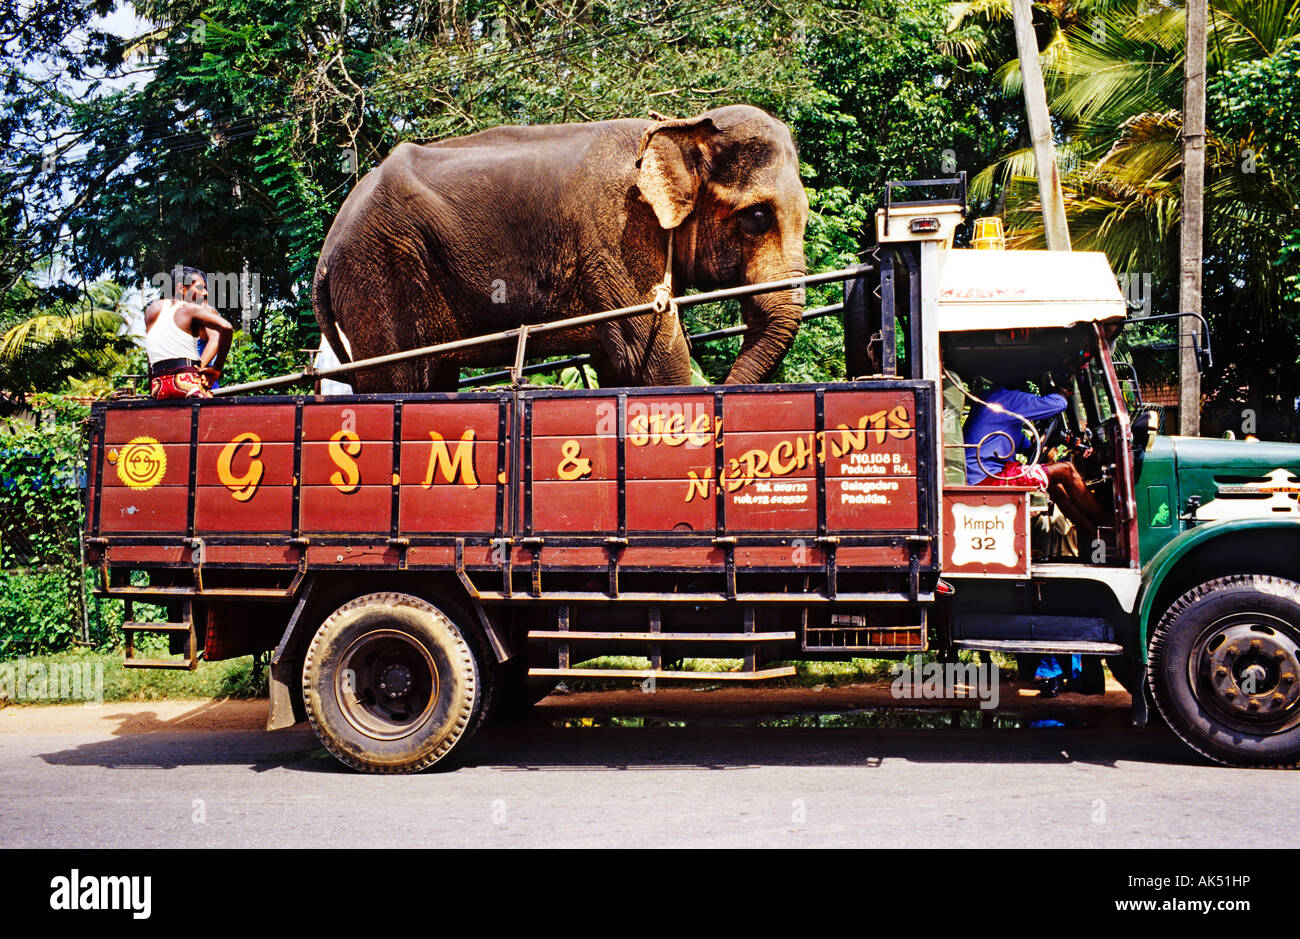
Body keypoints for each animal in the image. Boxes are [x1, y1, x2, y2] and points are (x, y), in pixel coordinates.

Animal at [312, 103, 808, 392]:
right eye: (756, 217)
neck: (677, 125)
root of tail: (325, 253)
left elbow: (618, 363)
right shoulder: (617, 237)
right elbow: (651, 359)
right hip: (379, 274)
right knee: (400, 384)